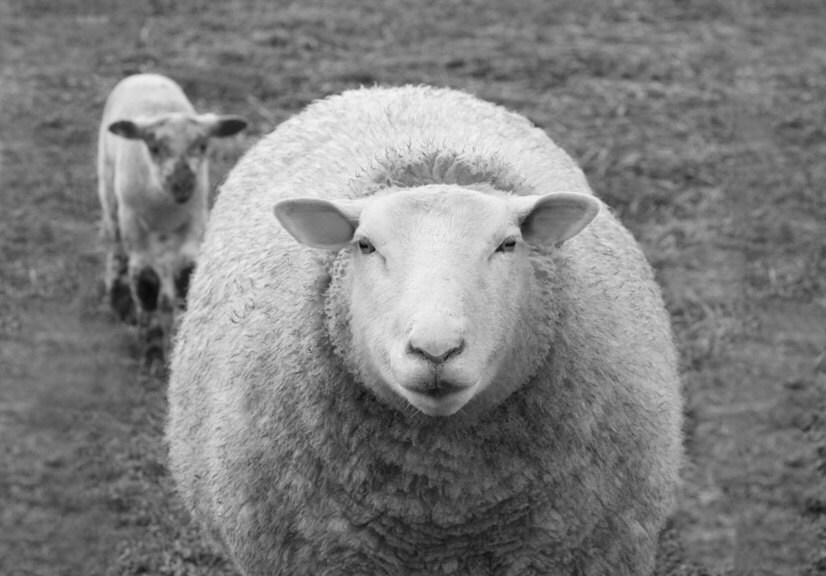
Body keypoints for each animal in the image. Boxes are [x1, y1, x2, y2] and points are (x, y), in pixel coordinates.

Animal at [97, 73, 247, 368]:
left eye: (202, 145)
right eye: (154, 147)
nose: (182, 184)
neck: (164, 209)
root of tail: (146, 75)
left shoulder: (195, 219)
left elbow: (184, 274)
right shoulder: (135, 225)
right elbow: (145, 282)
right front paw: (152, 355)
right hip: (108, 184)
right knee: (115, 243)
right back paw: (119, 300)